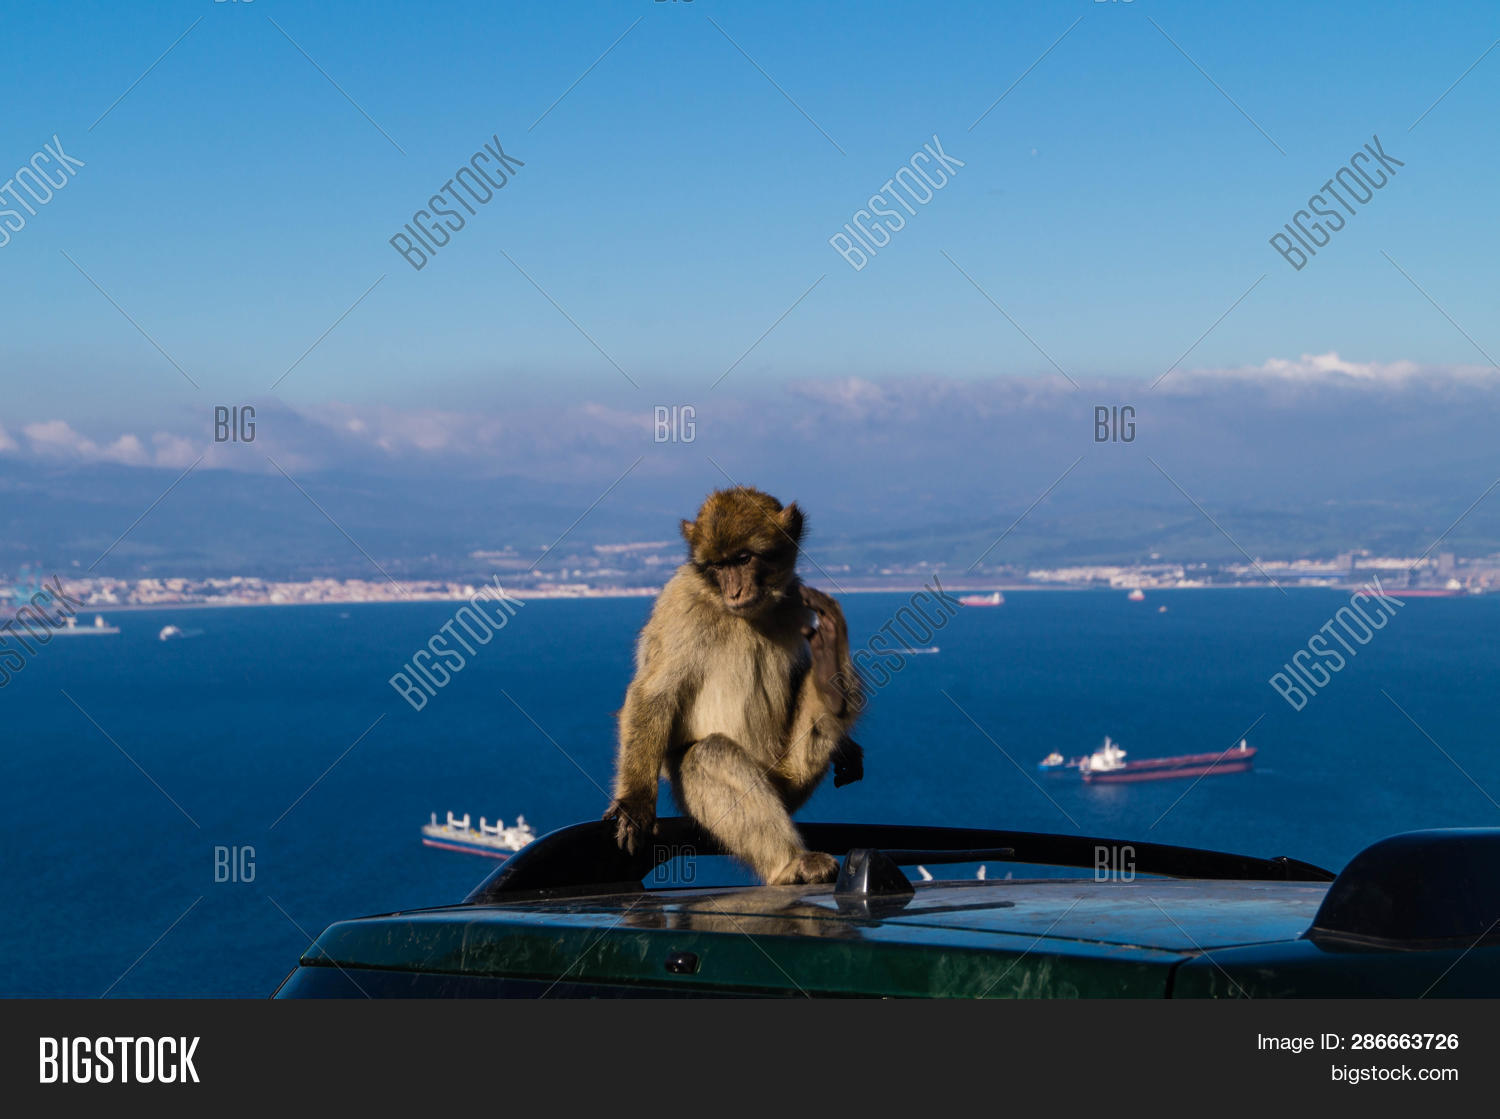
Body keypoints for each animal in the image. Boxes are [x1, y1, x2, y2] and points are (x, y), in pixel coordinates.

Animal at [603, 486, 863, 885]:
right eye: (719, 567)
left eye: (743, 559)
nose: (734, 590)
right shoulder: (680, 606)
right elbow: (654, 693)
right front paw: (635, 803)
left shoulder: (794, 599)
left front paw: (847, 747)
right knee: (705, 756)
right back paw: (790, 862)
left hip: (787, 777)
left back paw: (830, 679)